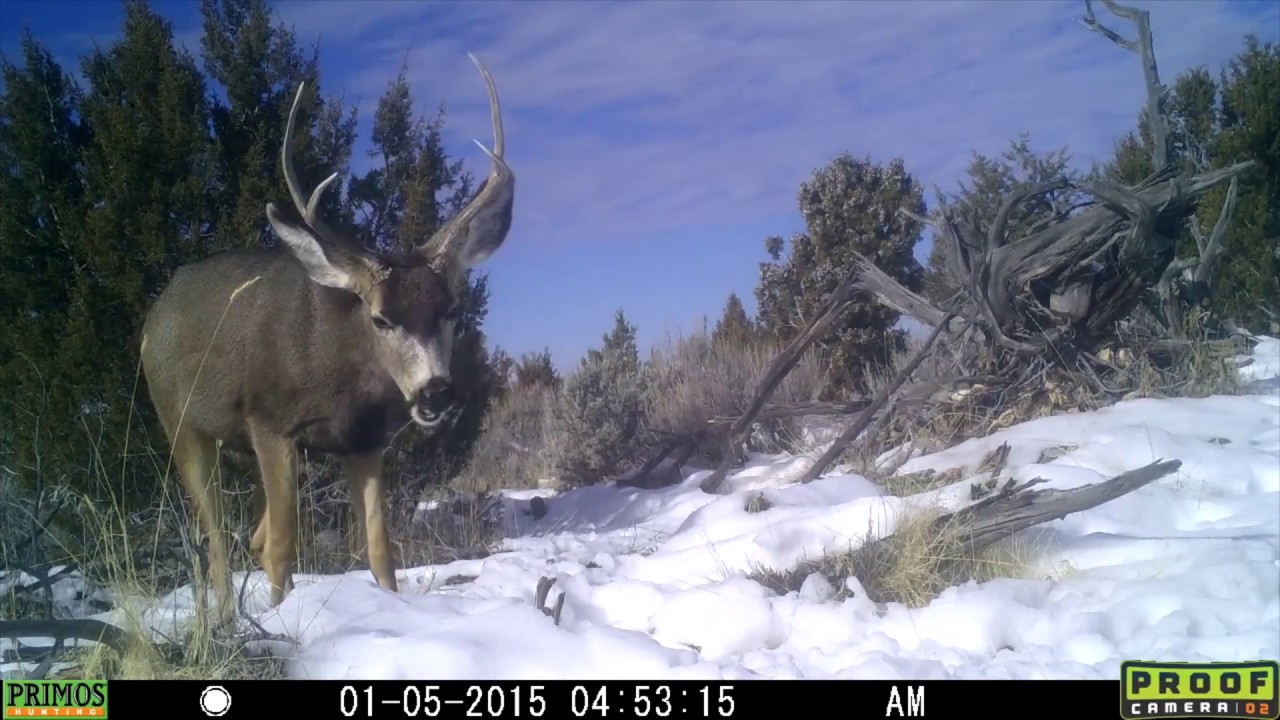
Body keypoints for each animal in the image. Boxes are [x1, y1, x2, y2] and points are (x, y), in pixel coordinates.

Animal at [139, 54, 513, 624]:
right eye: (380, 318)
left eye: (453, 309)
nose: (436, 393)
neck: (337, 374)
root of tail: (154, 315)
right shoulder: (270, 420)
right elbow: (282, 545)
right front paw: (280, 620)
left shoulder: (364, 439)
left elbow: (379, 547)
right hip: (182, 423)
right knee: (218, 538)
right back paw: (228, 619)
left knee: (249, 534)